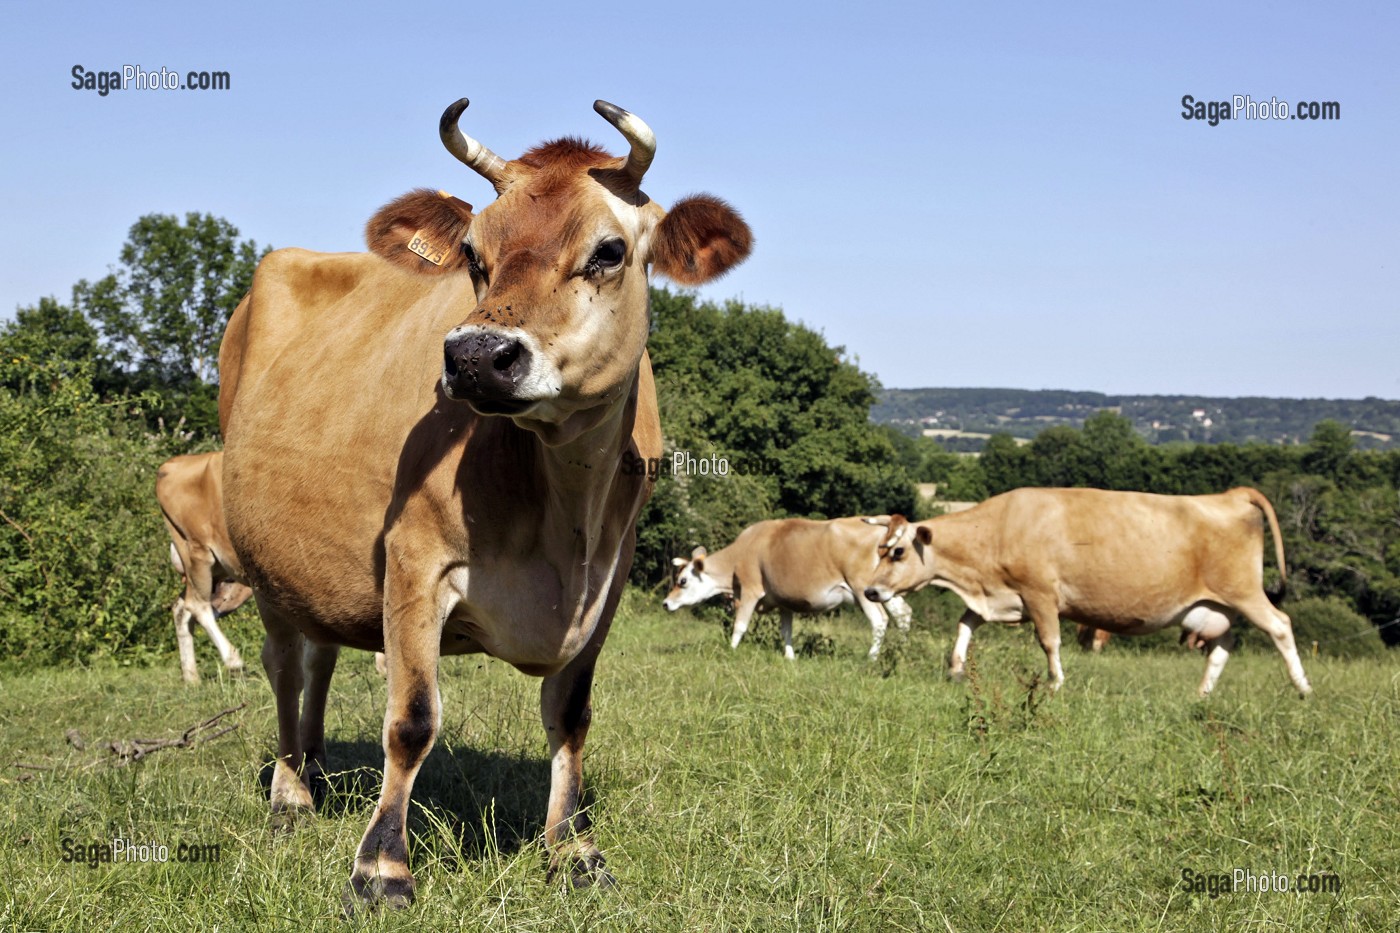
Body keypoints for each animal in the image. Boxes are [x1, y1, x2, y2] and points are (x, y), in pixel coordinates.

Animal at [218, 98, 751, 909]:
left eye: (608, 251)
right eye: (474, 253)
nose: (474, 356)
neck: (562, 505)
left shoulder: (610, 578)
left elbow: (570, 714)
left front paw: (574, 850)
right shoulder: (413, 561)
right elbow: (411, 720)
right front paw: (381, 866)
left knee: (319, 659)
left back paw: (312, 765)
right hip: (263, 560)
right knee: (284, 665)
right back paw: (290, 793)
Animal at [663, 517, 914, 659]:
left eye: (683, 581)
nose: (666, 603)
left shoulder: (751, 589)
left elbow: (740, 625)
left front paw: (731, 650)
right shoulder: (784, 601)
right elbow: (786, 631)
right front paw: (790, 657)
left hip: (861, 588)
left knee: (879, 620)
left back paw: (871, 659)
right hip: (883, 590)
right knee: (903, 614)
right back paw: (899, 654)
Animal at [861, 487, 1312, 698]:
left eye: (898, 551)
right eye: (879, 548)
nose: (870, 591)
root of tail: (1231, 495)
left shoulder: (1040, 594)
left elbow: (1050, 641)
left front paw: (1056, 683)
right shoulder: (1000, 597)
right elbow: (964, 624)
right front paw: (955, 668)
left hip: (1244, 592)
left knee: (1280, 626)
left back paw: (1303, 689)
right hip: (1212, 607)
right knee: (1223, 646)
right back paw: (1201, 695)